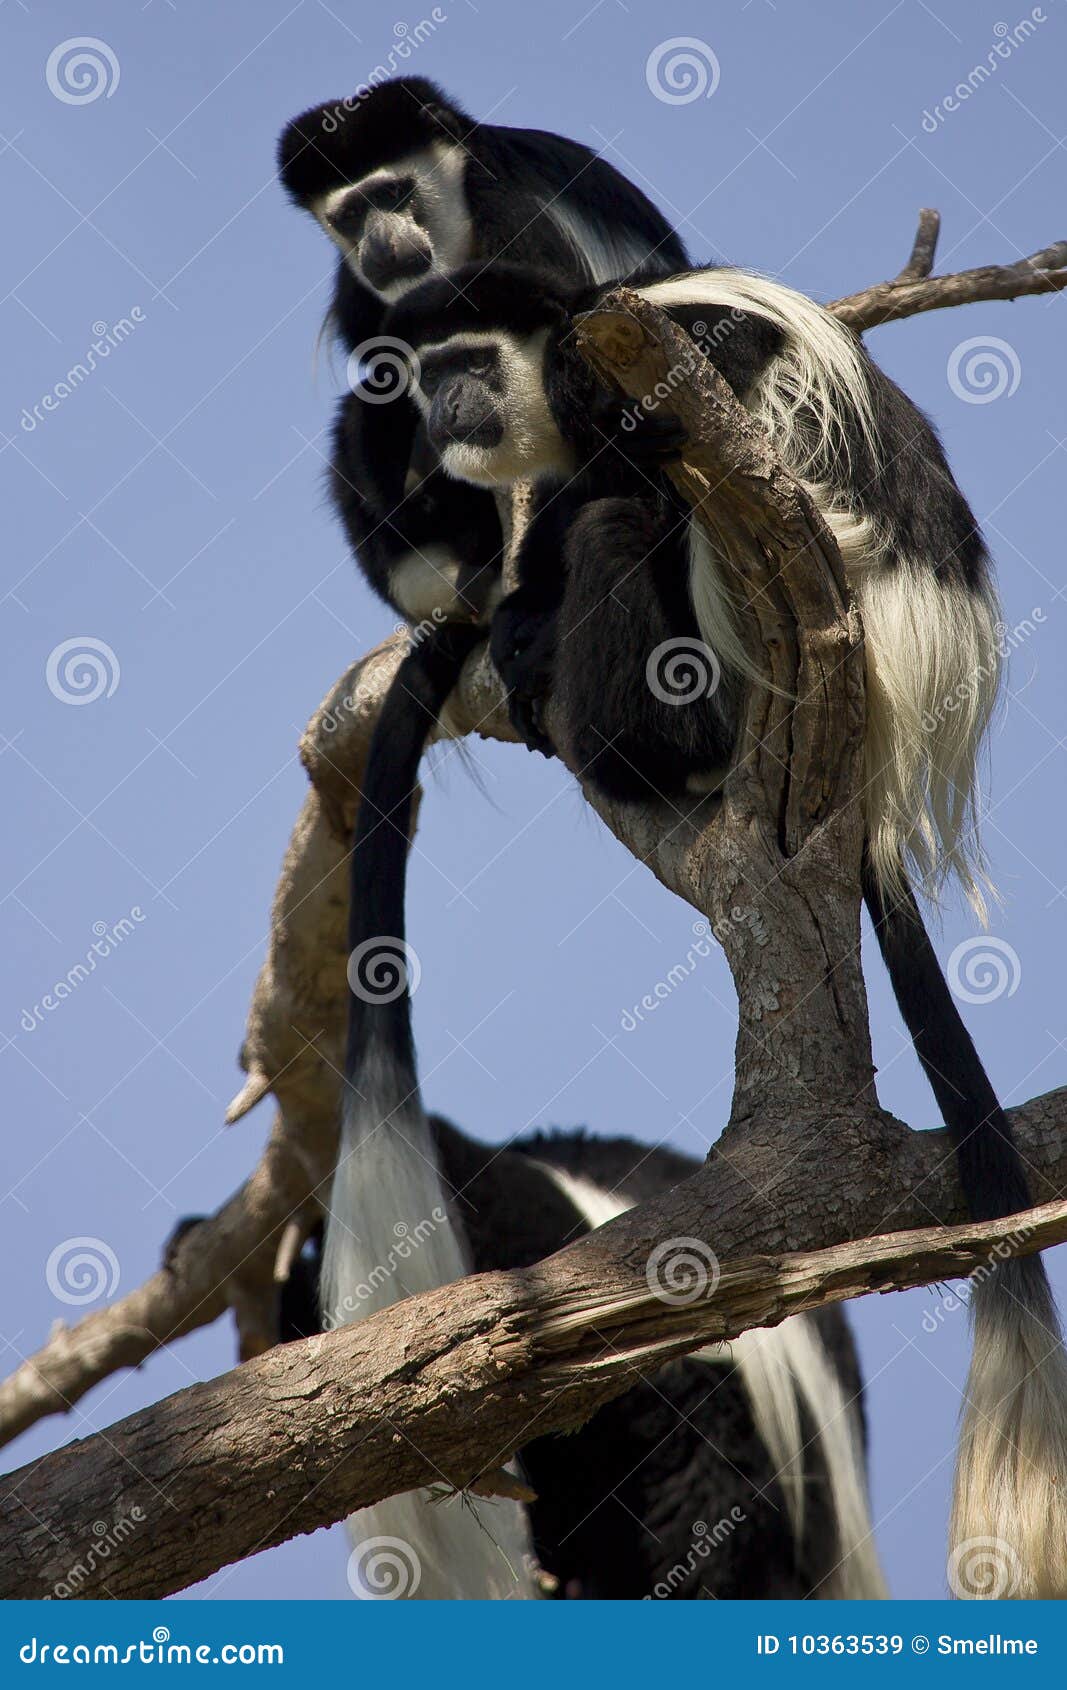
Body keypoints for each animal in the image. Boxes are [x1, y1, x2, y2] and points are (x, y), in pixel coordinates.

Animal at [381, 257, 1067, 1599]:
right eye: (425, 373)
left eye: (465, 365)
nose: (446, 411)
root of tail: (893, 750)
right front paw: (511, 614)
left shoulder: (625, 371)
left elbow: (631, 465)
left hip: (741, 649)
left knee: (639, 526)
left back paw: (612, 727)